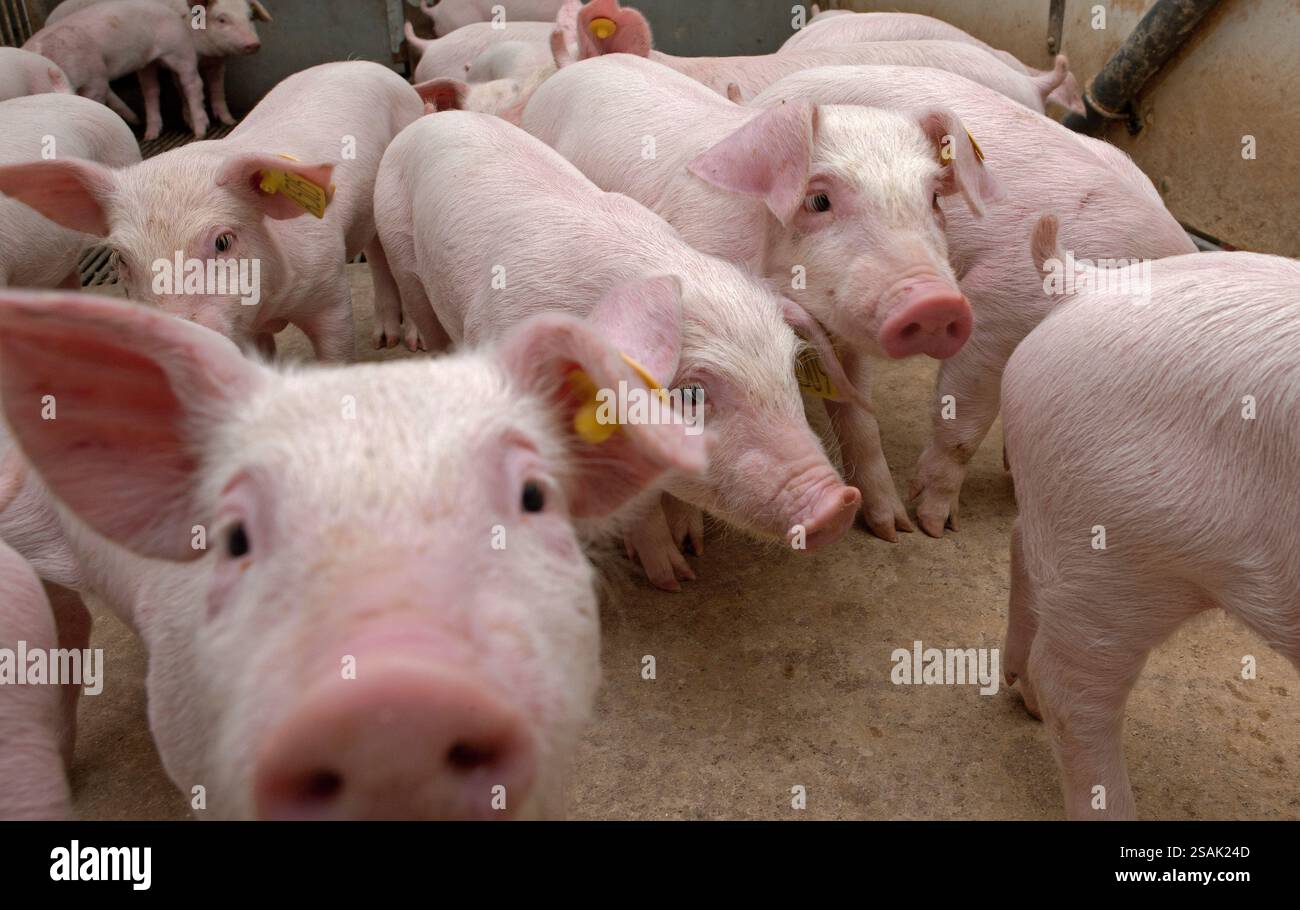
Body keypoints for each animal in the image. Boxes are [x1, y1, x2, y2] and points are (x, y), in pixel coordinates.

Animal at [24, 0, 209, 140]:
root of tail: (173, 12)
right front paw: (135, 120)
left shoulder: (95, 75)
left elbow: (99, 100)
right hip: (147, 64)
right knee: (152, 90)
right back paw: (150, 134)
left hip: (181, 49)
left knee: (193, 84)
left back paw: (199, 132)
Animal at [46, 0, 270, 127]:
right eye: (222, 19)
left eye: (250, 17)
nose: (254, 44)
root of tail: (49, 18)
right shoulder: (183, 55)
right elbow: (181, 87)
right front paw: (191, 121)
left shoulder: (215, 61)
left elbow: (217, 88)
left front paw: (229, 120)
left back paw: (136, 120)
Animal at [374, 111, 863, 590]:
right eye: (690, 394)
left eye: (789, 371)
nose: (839, 503)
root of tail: (430, 118)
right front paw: (669, 578)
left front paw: (685, 562)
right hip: (400, 253)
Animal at [522, 53, 998, 541]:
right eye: (819, 199)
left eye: (935, 198)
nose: (937, 302)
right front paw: (689, 544)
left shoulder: (841, 336)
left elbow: (860, 422)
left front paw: (894, 529)